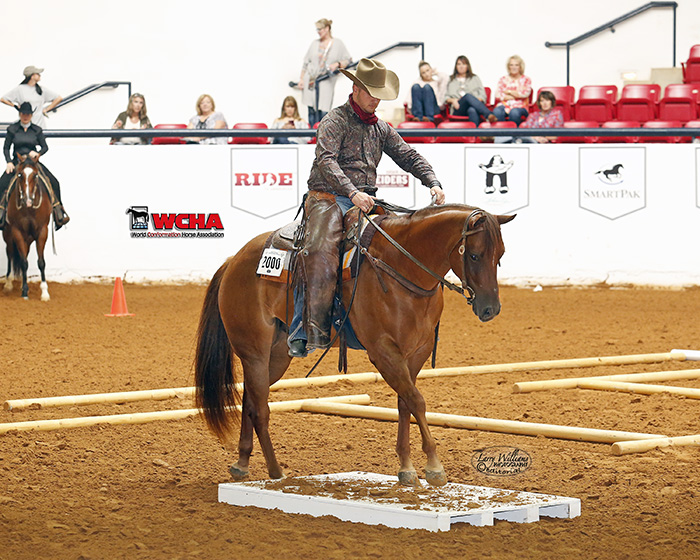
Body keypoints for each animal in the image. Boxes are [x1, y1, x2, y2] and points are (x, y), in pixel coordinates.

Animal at [2, 156, 53, 301]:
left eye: (35, 175)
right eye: (19, 174)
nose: (28, 200)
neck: (29, 209)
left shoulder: (42, 231)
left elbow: (41, 262)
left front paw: (45, 293)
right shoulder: (17, 232)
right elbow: (24, 262)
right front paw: (25, 292)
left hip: (29, 238)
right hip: (8, 235)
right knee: (10, 253)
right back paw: (8, 283)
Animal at [194, 203, 514, 486]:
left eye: (500, 255)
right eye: (474, 255)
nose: (491, 309)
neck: (401, 267)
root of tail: (234, 259)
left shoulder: (415, 352)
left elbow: (405, 402)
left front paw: (406, 468)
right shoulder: (383, 351)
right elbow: (417, 401)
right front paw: (434, 468)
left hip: (276, 356)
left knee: (250, 398)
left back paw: (242, 463)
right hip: (254, 352)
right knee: (260, 408)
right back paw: (275, 471)